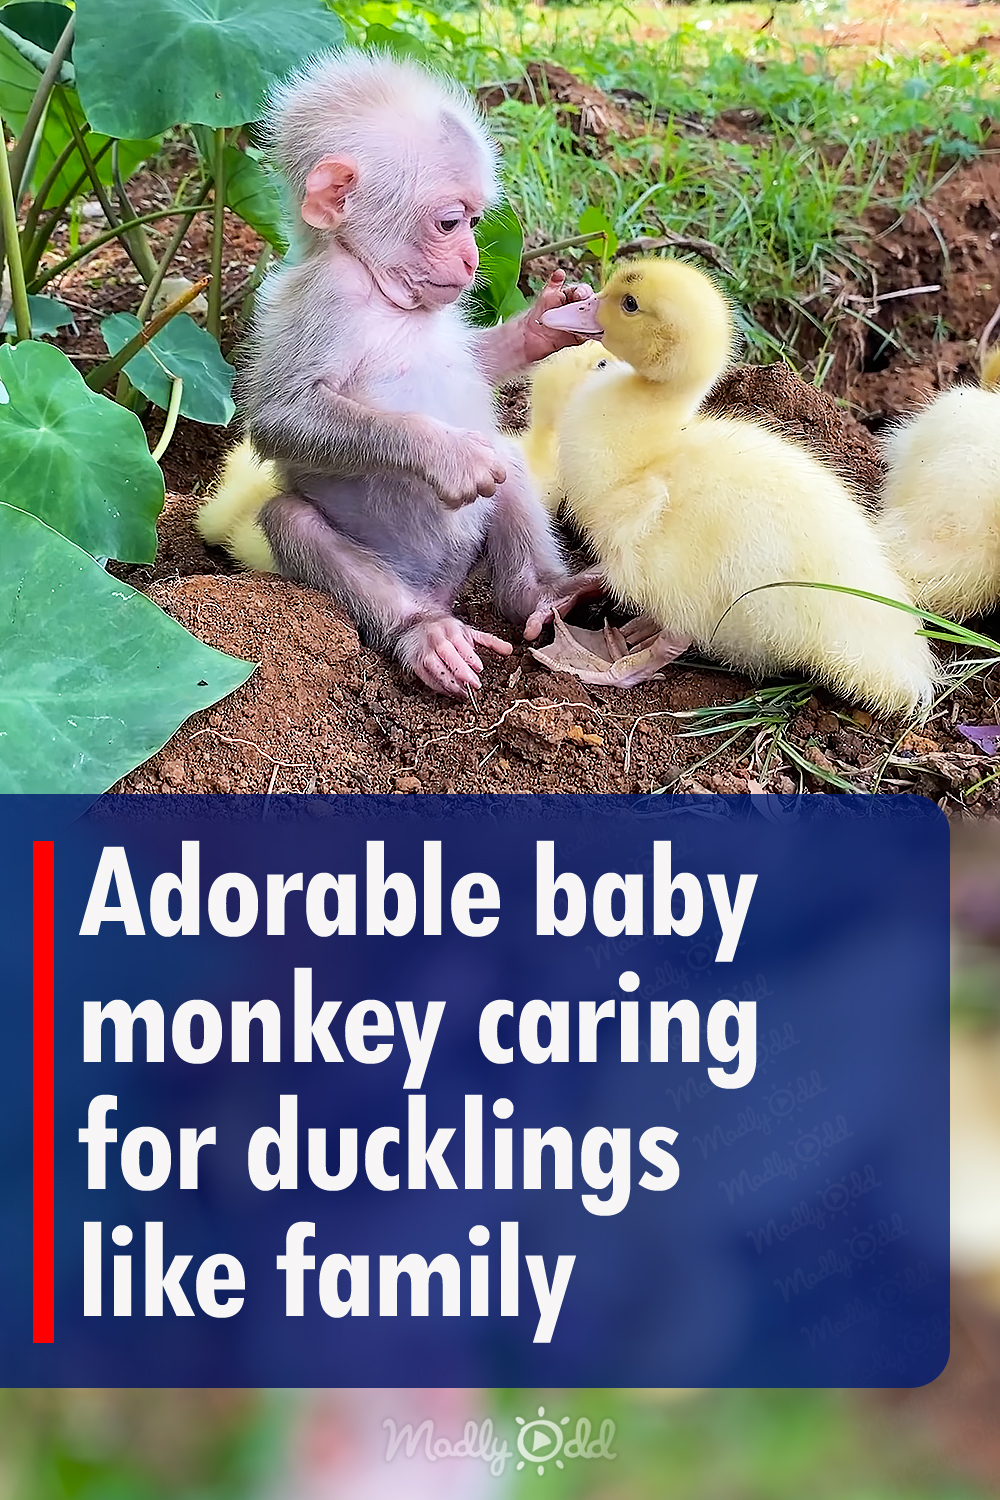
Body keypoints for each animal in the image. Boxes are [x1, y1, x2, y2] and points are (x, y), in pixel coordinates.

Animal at [238, 49, 602, 696]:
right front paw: (446, 454)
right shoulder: (323, 300)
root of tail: (438, 585)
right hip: (384, 570)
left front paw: (543, 326)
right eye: (451, 223)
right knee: (292, 519)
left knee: (507, 464)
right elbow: (282, 418)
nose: (473, 260)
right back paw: (425, 634)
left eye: (478, 223)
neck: (379, 288)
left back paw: (546, 594)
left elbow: (478, 366)